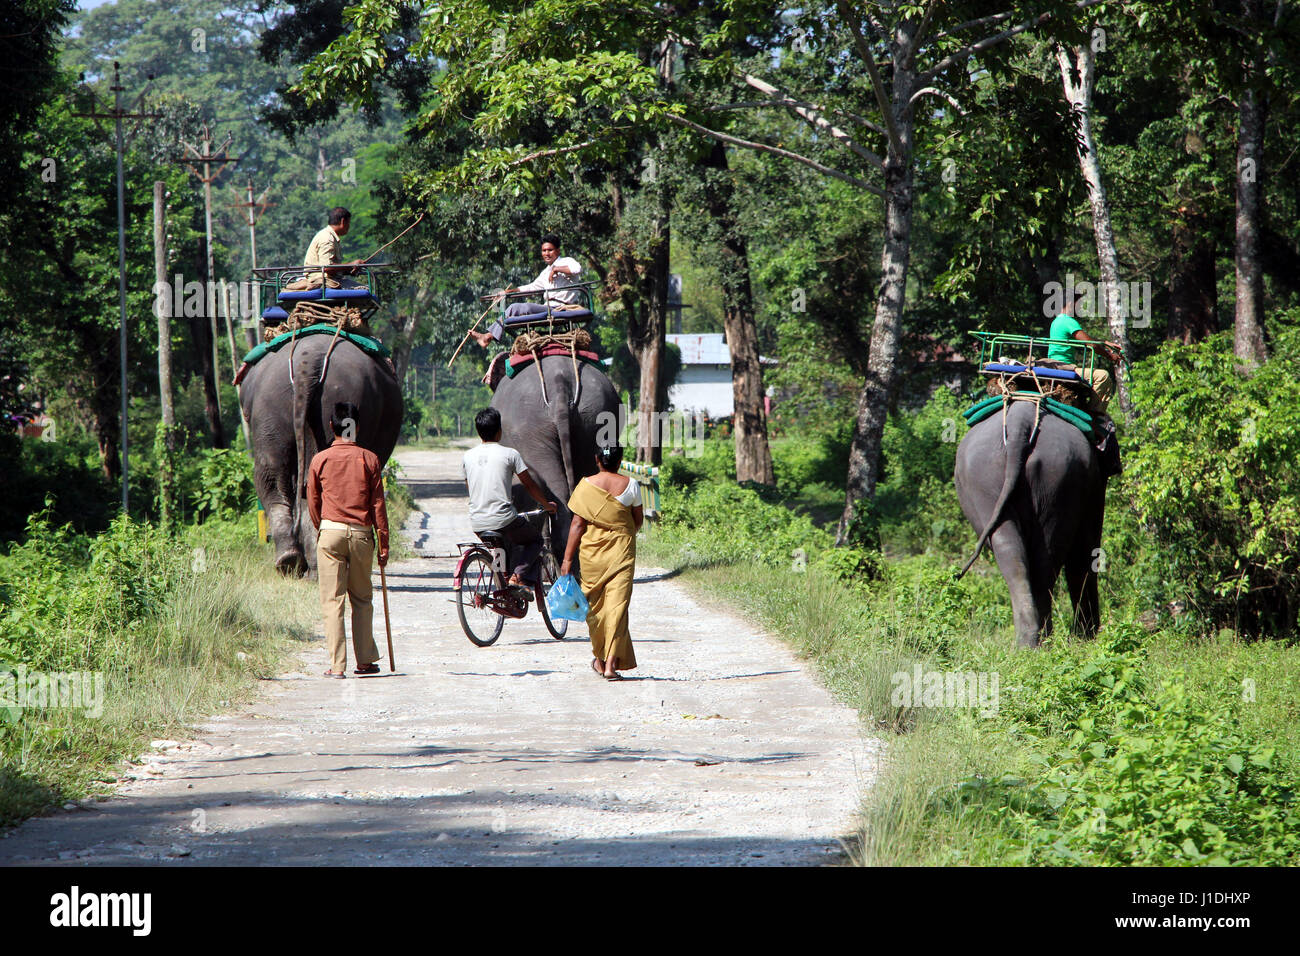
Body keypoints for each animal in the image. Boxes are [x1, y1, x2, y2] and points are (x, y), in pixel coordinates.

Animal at [954, 399, 1107, 648]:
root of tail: (1020, 422)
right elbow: (1086, 552)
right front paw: (1086, 638)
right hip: (1057, 476)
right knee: (1048, 555)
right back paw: (1042, 639)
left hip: (986, 475)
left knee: (1014, 552)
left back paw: (1030, 641)